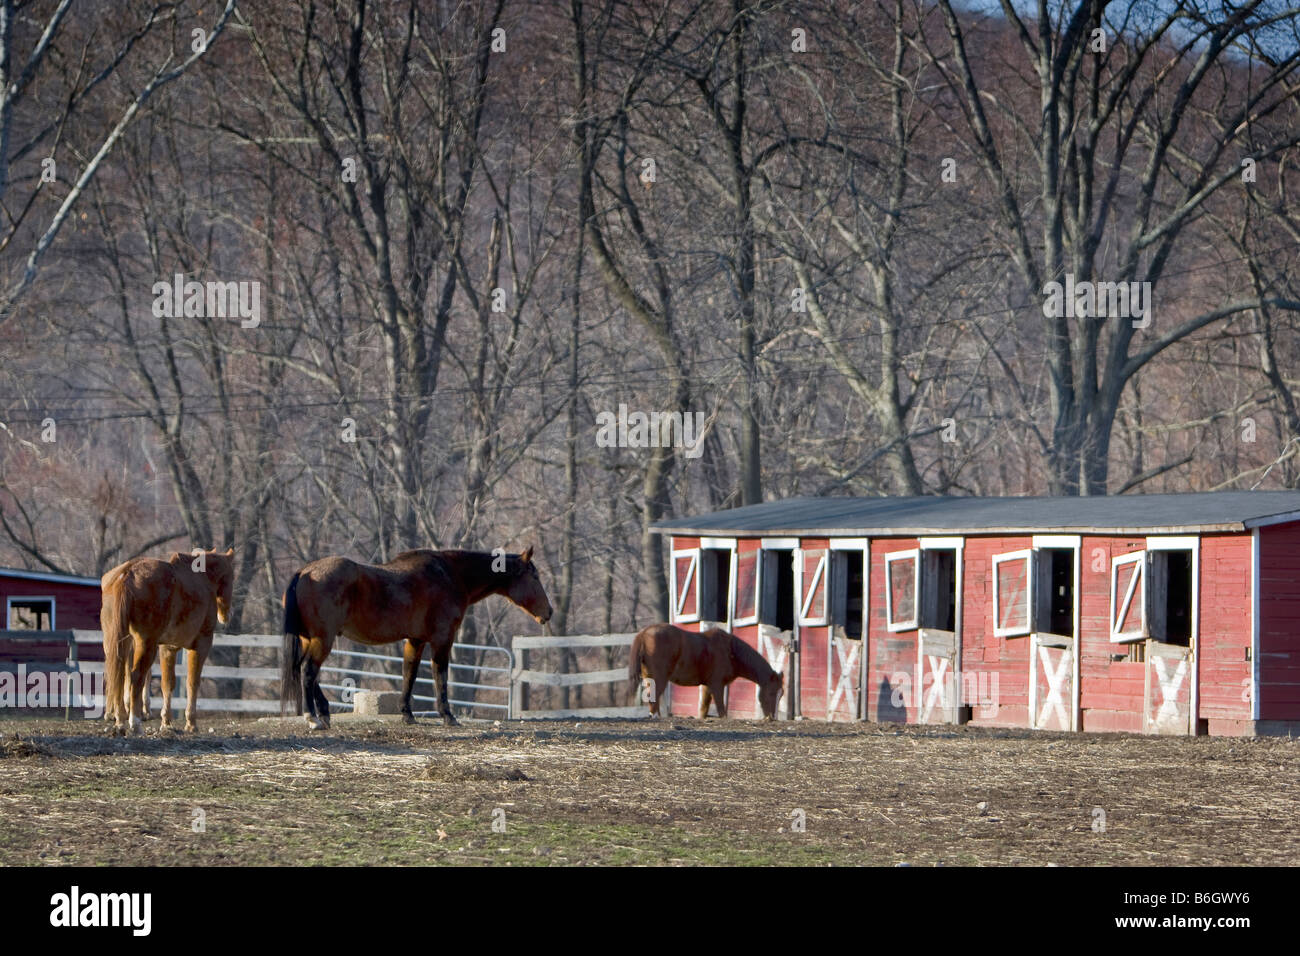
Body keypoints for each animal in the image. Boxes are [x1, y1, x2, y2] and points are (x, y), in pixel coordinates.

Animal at [101, 548, 235, 735]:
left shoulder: (168, 648)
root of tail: (127, 574)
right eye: (231, 577)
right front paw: (191, 723)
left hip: (117, 643)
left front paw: (166, 722)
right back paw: (135, 723)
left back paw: (120, 720)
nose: (226, 616)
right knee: (136, 677)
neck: (203, 579)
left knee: (119, 675)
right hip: (145, 645)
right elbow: (192, 682)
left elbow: (167, 684)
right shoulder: (201, 644)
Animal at [281, 546, 552, 730]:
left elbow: (409, 675)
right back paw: (313, 717)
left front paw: (407, 714)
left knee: (306, 671)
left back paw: (324, 713)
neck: (451, 575)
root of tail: (305, 571)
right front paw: (447, 715)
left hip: (311, 639)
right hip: (322, 639)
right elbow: (440, 676)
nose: (548, 612)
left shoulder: (415, 640)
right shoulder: (442, 639)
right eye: (535, 577)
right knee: (308, 671)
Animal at [628, 623, 784, 720]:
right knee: (653, 697)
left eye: (781, 695)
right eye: (771, 693)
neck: (731, 651)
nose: (773, 718)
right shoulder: (717, 685)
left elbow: (703, 709)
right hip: (659, 678)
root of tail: (644, 633)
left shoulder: (707, 686)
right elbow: (721, 710)